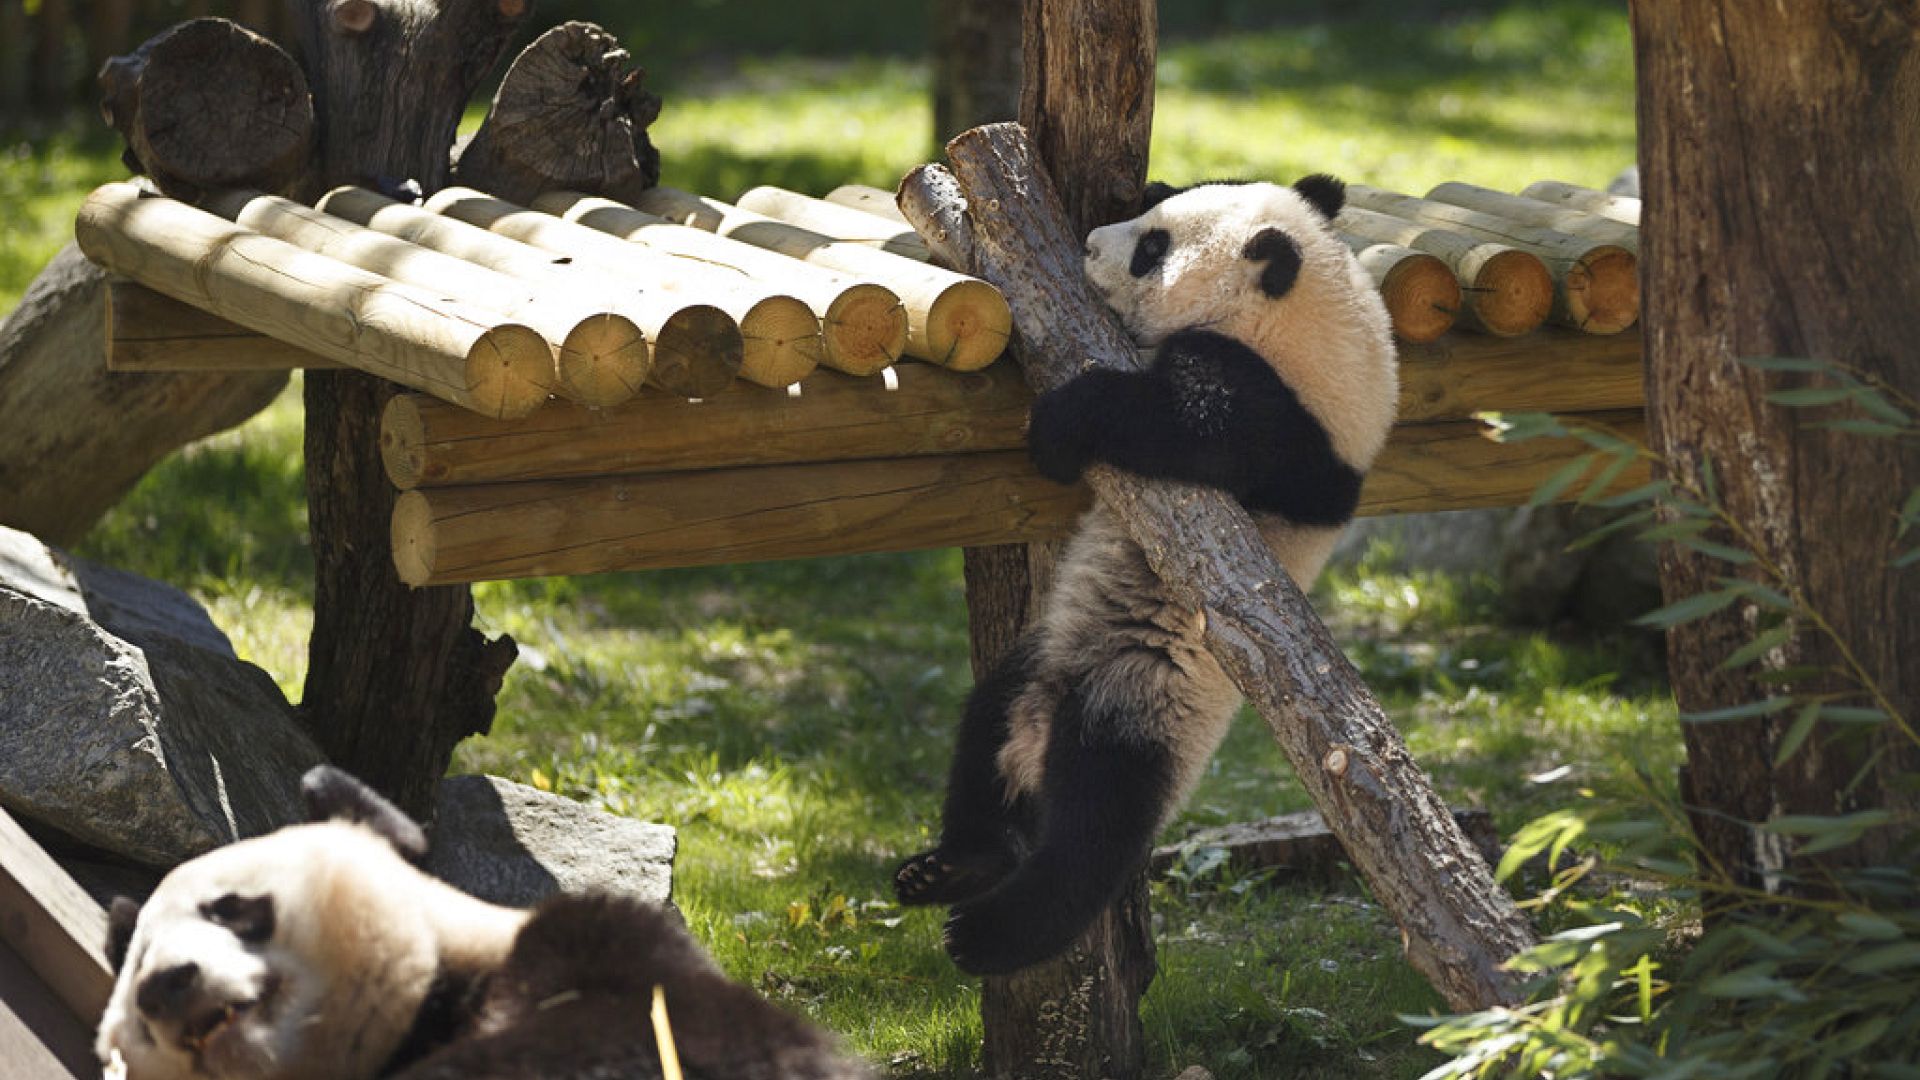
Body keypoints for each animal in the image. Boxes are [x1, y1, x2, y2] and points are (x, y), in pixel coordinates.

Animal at [893, 176, 1398, 975]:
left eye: (1153, 247)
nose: (1091, 242)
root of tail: (1041, 732)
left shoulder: (1289, 423)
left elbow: (1190, 427)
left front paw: (1060, 424)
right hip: (1043, 658)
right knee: (982, 735)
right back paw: (954, 867)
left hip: (1145, 698)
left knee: (1096, 826)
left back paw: (989, 934)